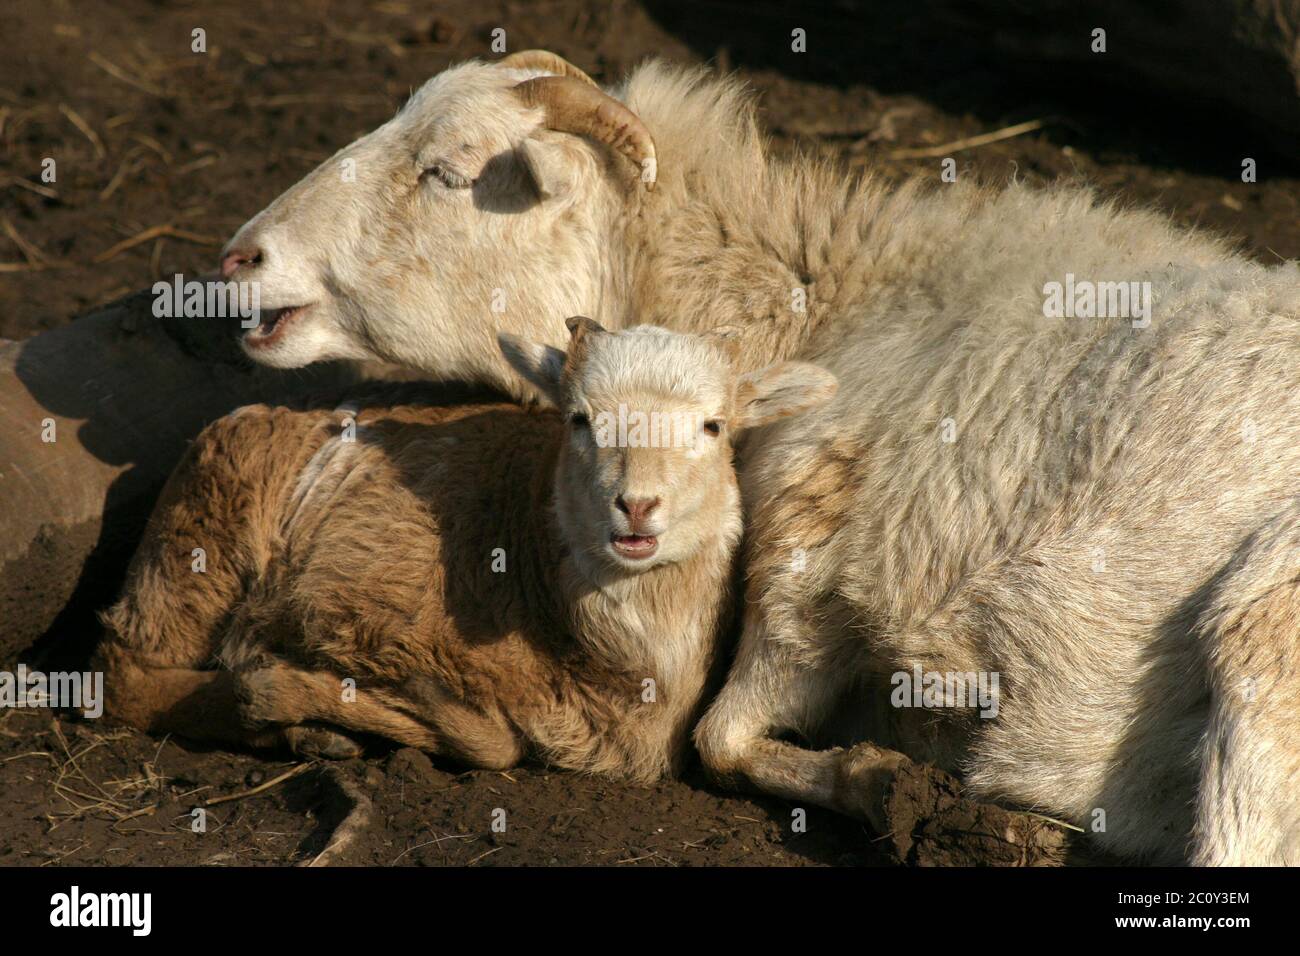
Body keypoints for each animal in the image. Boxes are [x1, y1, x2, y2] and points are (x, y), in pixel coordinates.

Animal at [94, 318, 836, 781]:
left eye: (714, 426)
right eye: (578, 419)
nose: (636, 505)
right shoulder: (345, 612)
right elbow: (493, 742)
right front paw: (280, 691)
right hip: (201, 537)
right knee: (125, 670)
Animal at [214, 51, 1300, 863]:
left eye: (447, 169)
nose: (239, 258)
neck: (831, 302)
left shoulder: (808, 576)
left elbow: (719, 738)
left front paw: (900, 787)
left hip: (1264, 636)